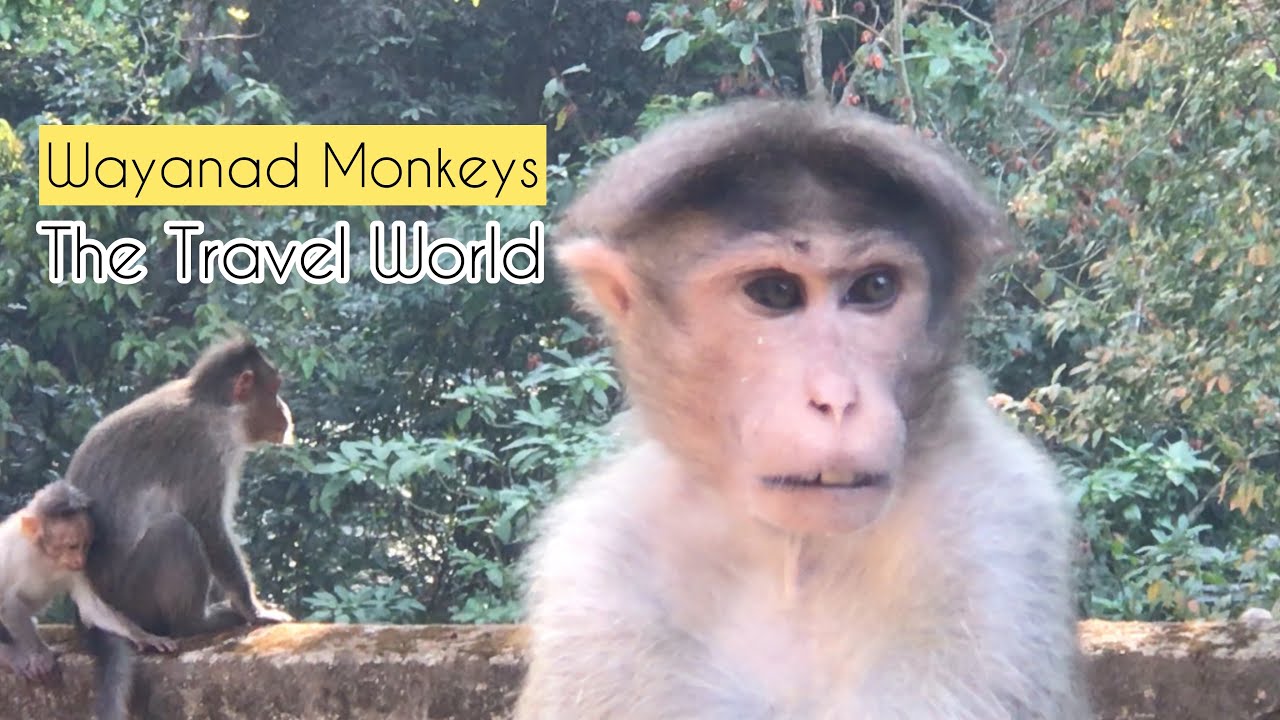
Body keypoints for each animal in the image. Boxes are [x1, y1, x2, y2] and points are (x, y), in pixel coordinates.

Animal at [0, 480, 176, 683]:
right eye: (72, 546)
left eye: (85, 546)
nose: (80, 560)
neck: (45, 555)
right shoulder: (17, 553)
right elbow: (9, 603)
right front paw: (40, 654)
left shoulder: (75, 570)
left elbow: (91, 608)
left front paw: (143, 636)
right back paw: (9, 654)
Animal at [63, 337, 296, 720]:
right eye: (274, 389)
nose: (286, 412)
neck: (215, 407)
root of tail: (91, 615)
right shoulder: (206, 450)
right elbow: (207, 524)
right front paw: (253, 609)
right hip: (133, 596)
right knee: (176, 531)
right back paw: (196, 623)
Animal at [514, 99, 1091, 720]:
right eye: (773, 293)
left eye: (874, 288)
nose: (836, 399)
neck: (796, 554)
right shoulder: (598, 572)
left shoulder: (996, 529)